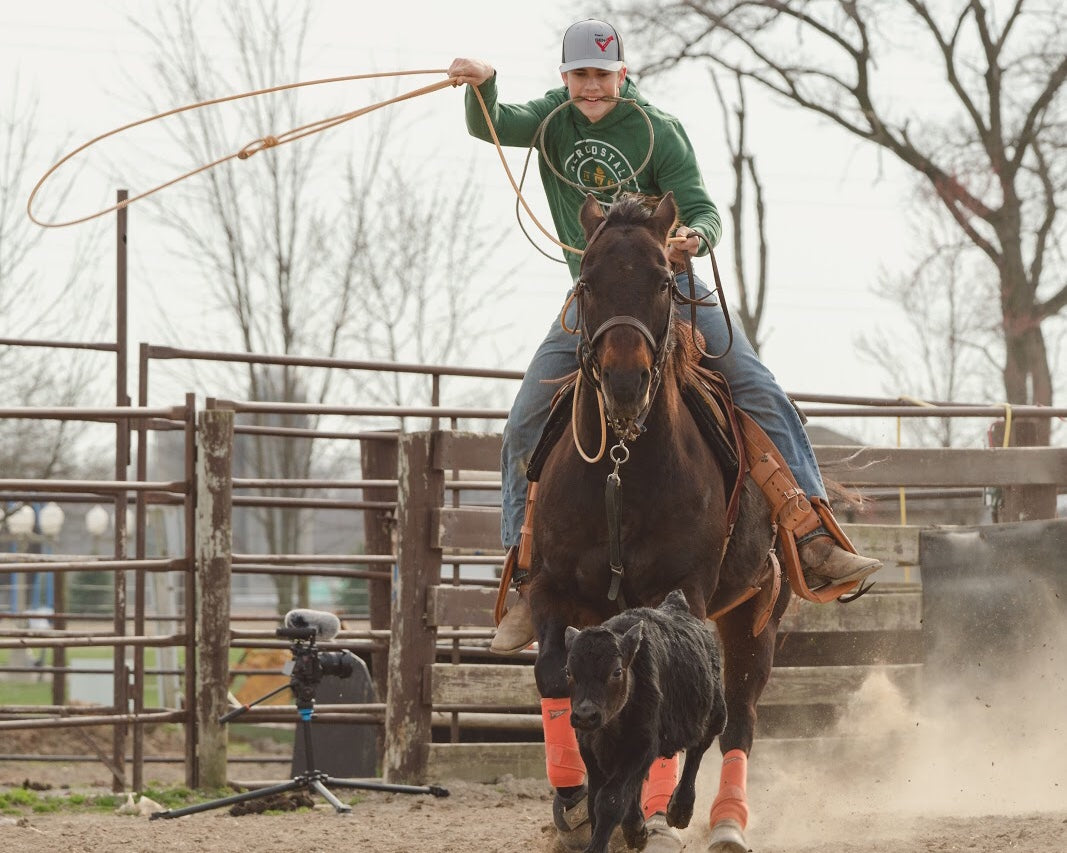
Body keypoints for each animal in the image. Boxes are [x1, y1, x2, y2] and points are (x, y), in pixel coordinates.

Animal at [563, 589, 727, 853]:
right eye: (569, 671)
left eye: (616, 671)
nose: (586, 715)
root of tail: (677, 605)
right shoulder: (590, 751)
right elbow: (596, 801)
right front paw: (634, 831)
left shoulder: (642, 745)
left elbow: (610, 800)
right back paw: (636, 829)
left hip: (714, 715)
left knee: (697, 751)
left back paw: (680, 810)